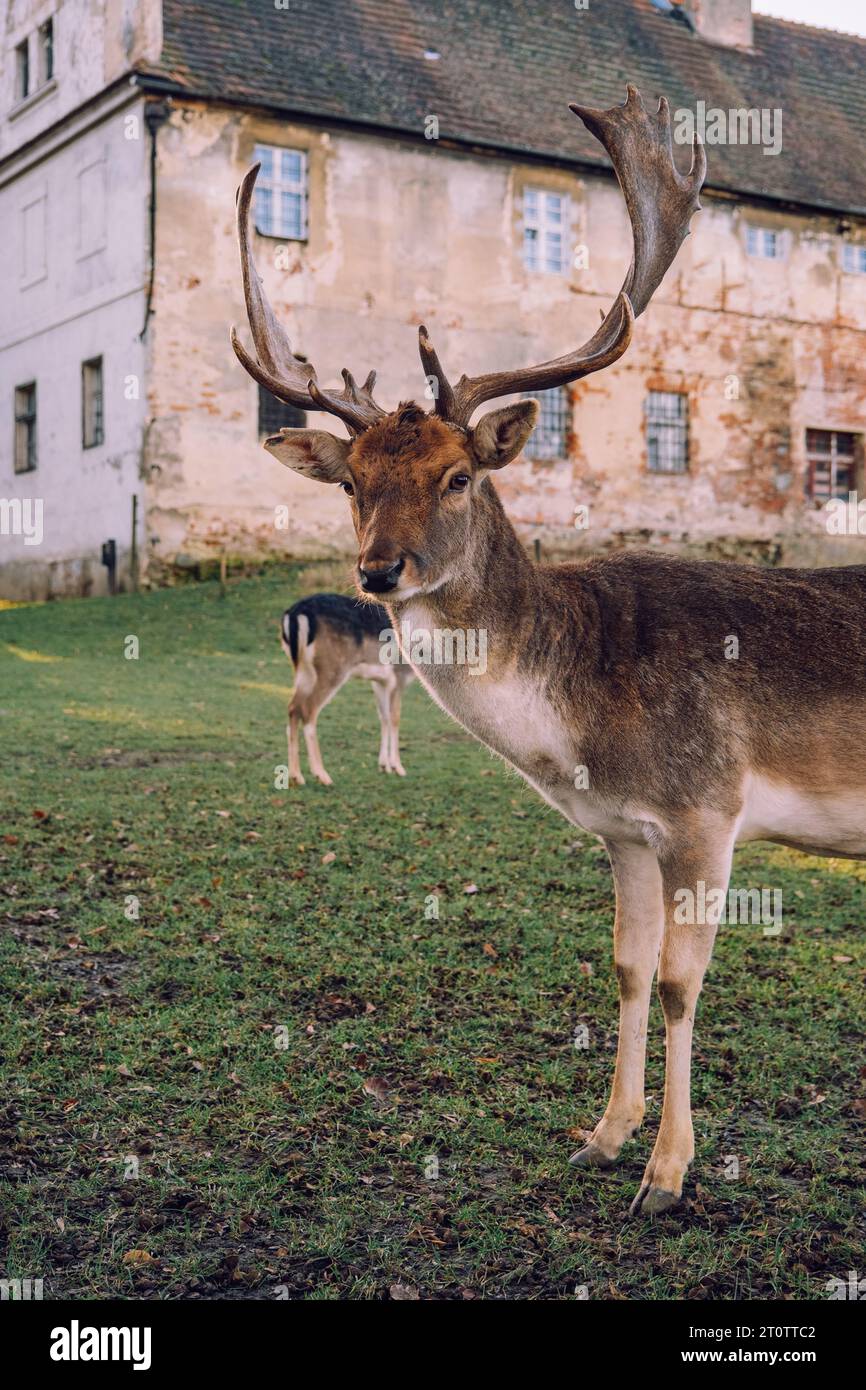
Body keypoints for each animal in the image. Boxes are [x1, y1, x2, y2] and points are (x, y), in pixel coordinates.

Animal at [281, 592, 413, 785]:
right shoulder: (398, 675)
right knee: (308, 709)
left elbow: (384, 718)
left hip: (303, 670)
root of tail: (295, 614)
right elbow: (395, 718)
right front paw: (398, 767)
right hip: (332, 667)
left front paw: (384, 766)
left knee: (293, 707)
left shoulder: (380, 681)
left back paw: (296, 775)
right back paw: (322, 775)